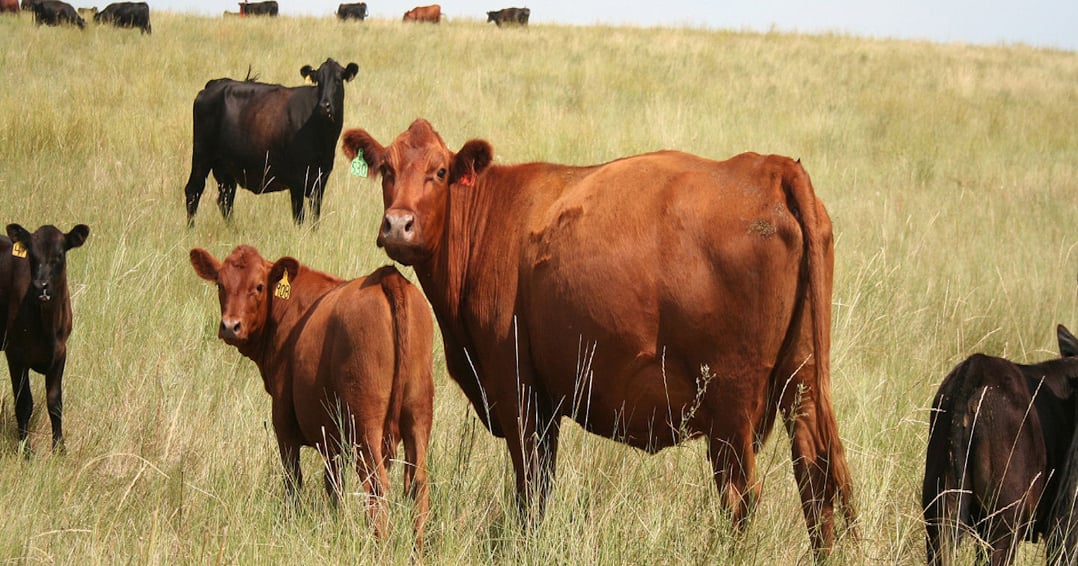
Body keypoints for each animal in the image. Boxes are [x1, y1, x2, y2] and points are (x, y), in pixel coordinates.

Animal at [1, 224, 89, 454]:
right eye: (31, 255)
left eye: (59, 255)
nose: (41, 285)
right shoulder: (15, 354)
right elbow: (23, 403)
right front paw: (25, 450)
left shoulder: (60, 352)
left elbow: (55, 402)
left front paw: (59, 449)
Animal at [183, 58, 359, 227]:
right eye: (318, 82)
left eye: (338, 80)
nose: (324, 106)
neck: (322, 136)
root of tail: (216, 83)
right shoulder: (296, 179)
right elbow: (299, 217)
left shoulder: (321, 179)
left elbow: (315, 217)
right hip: (202, 155)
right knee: (193, 191)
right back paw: (190, 230)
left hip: (226, 167)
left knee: (226, 199)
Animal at [190, 246, 435, 547]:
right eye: (220, 285)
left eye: (259, 286)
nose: (230, 326)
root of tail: (388, 277)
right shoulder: (330, 439)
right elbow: (334, 488)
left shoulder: (284, 424)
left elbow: (294, 482)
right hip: (418, 416)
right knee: (418, 485)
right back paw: (416, 550)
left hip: (366, 425)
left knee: (377, 485)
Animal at [340, 118, 856, 558]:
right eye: (387, 169)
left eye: (441, 171)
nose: (398, 224)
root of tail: (767, 166)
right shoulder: (546, 403)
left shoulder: (517, 391)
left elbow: (530, 489)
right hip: (802, 382)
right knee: (817, 480)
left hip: (730, 406)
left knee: (742, 496)